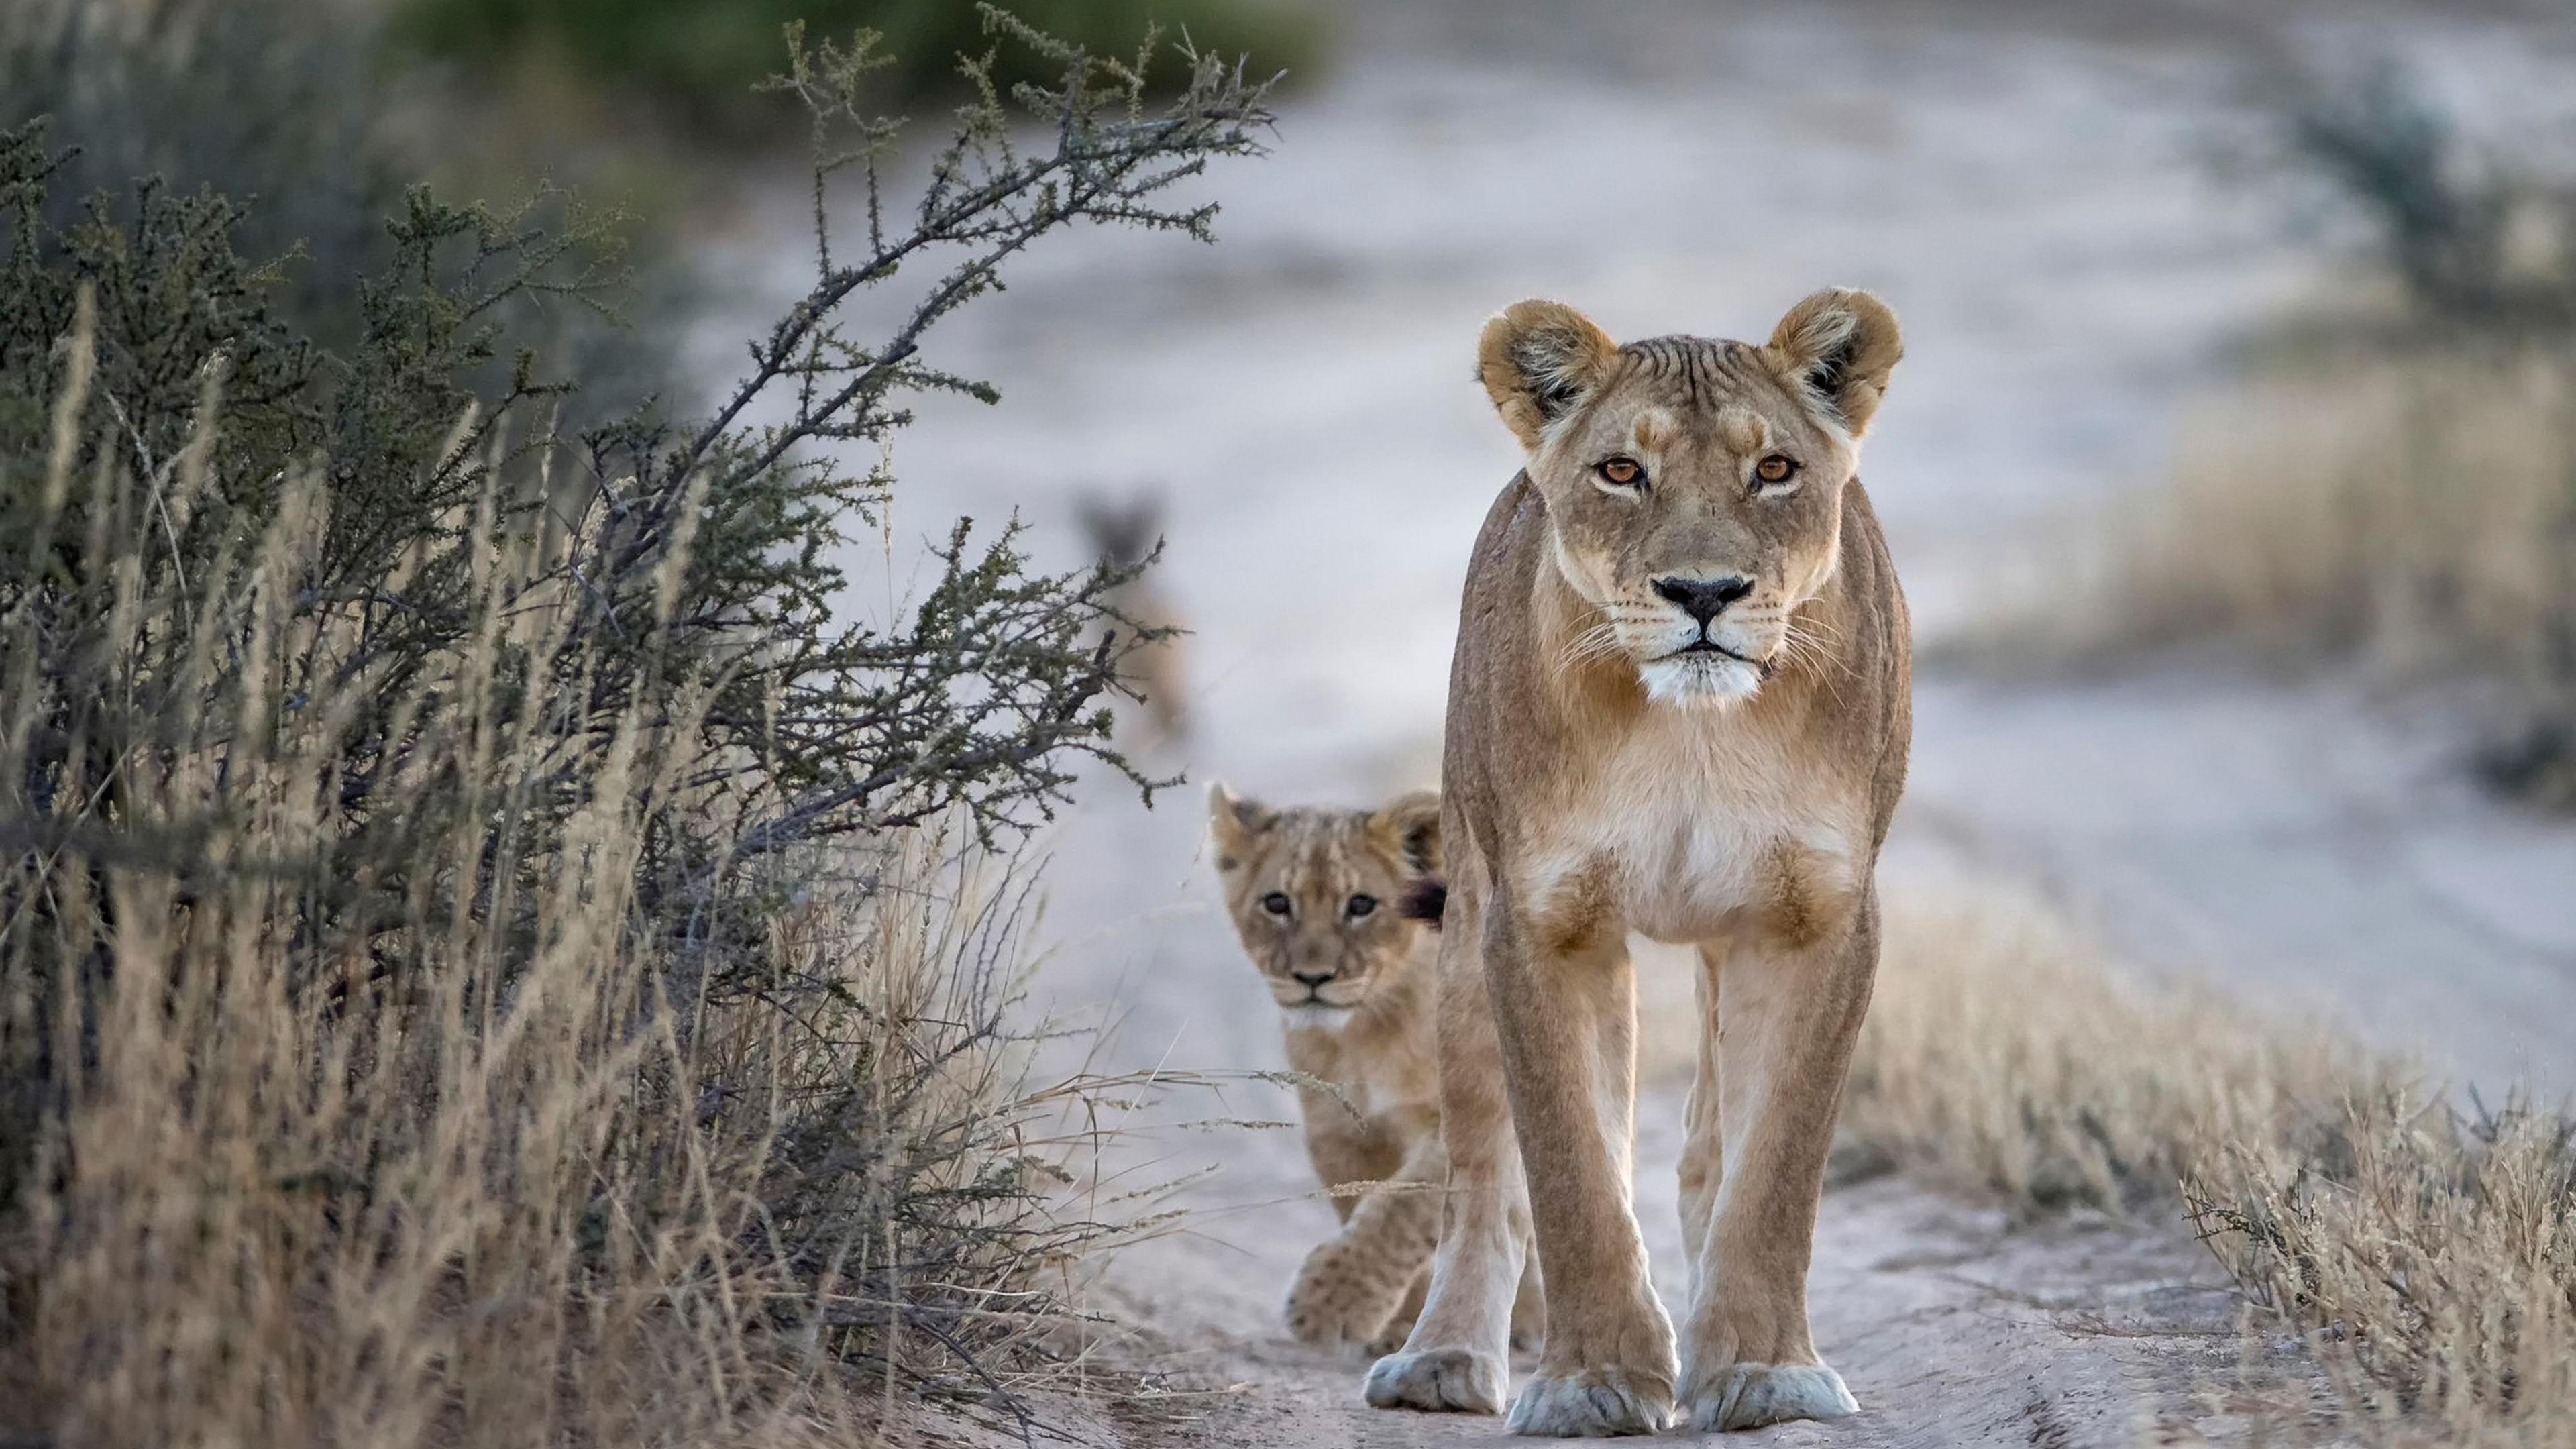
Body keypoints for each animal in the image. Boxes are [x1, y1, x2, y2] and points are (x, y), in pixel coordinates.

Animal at [1208, 783, 1543, 1358]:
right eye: (1277, 903)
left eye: (1361, 905)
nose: (1312, 978)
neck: (1364, 1034)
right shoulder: (1341, 1133)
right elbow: (1370, 1206)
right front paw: (1396, 1325)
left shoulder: (1456, 1115)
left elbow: (1404, 1210)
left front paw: (1331, 1304)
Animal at [1360, 290, 1910, 1435]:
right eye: (1622, 471)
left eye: (1774, 470)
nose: (1704, 591)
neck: (1692, 733)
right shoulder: (1540, 921)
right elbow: (1570, 1169)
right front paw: (1595, 1382)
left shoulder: (1818, 918)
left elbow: (1775, 1165)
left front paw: (1763, 1372)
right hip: (1465, 930)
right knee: (1484, 1176)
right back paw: (1442, 1361)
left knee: (1707, 1151)